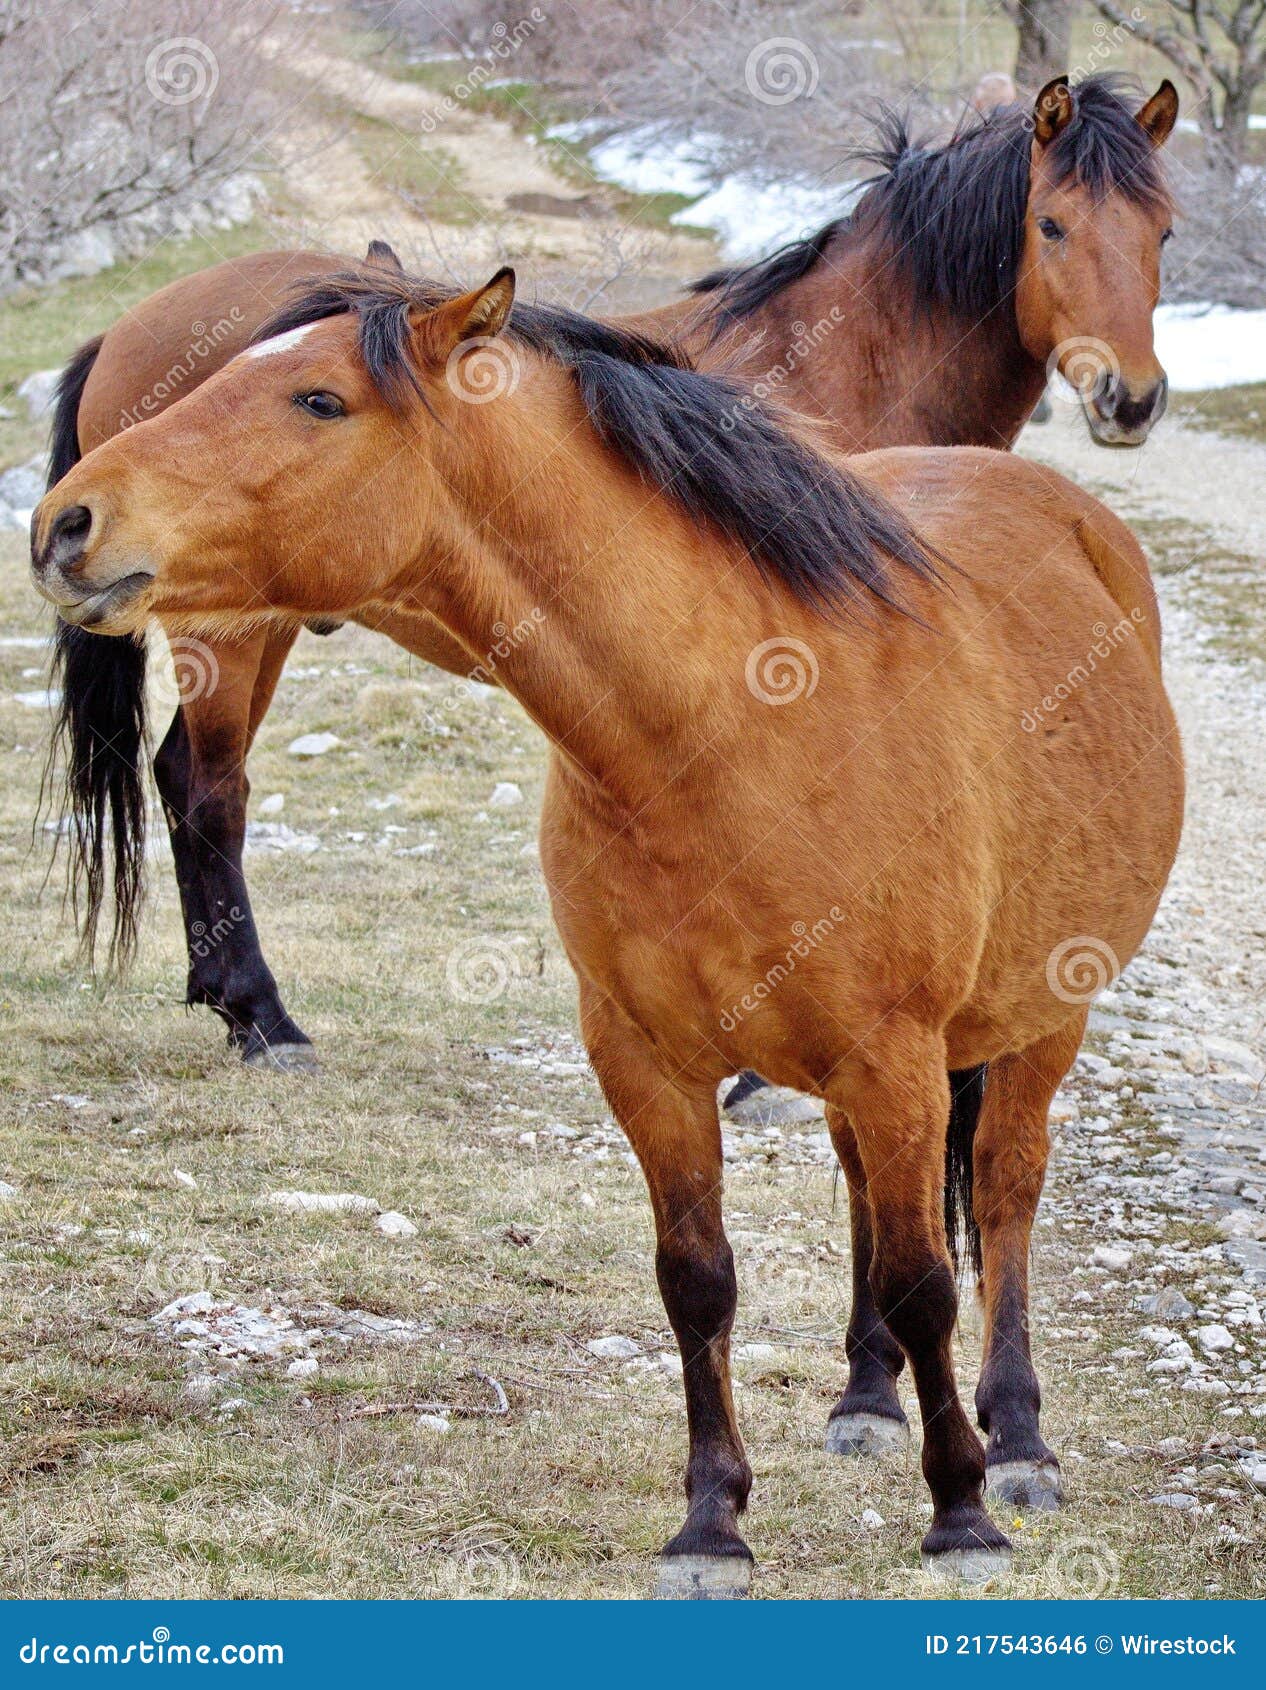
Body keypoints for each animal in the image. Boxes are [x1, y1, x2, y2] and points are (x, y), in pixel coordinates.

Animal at [32, 266, 1184, 1595]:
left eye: (318, 398)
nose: (64, 524)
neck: (731, 724)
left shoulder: (895, 1050)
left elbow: (926, 1279)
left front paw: (961, 1513)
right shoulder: (647, 1058)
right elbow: (699, 1282)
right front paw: (713, 1521)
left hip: (1043, 1021)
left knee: (1001, 1197)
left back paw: (1020, 1439)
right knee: (864, 1189)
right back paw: (863, 1397)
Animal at [42, 72, 1177, 1075]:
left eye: (1162, 232)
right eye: (1052, 227)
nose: (1130, 398)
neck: (840, 360)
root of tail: (127, 326)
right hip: (226, 631)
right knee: (209, 790)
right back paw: (262, 1017)